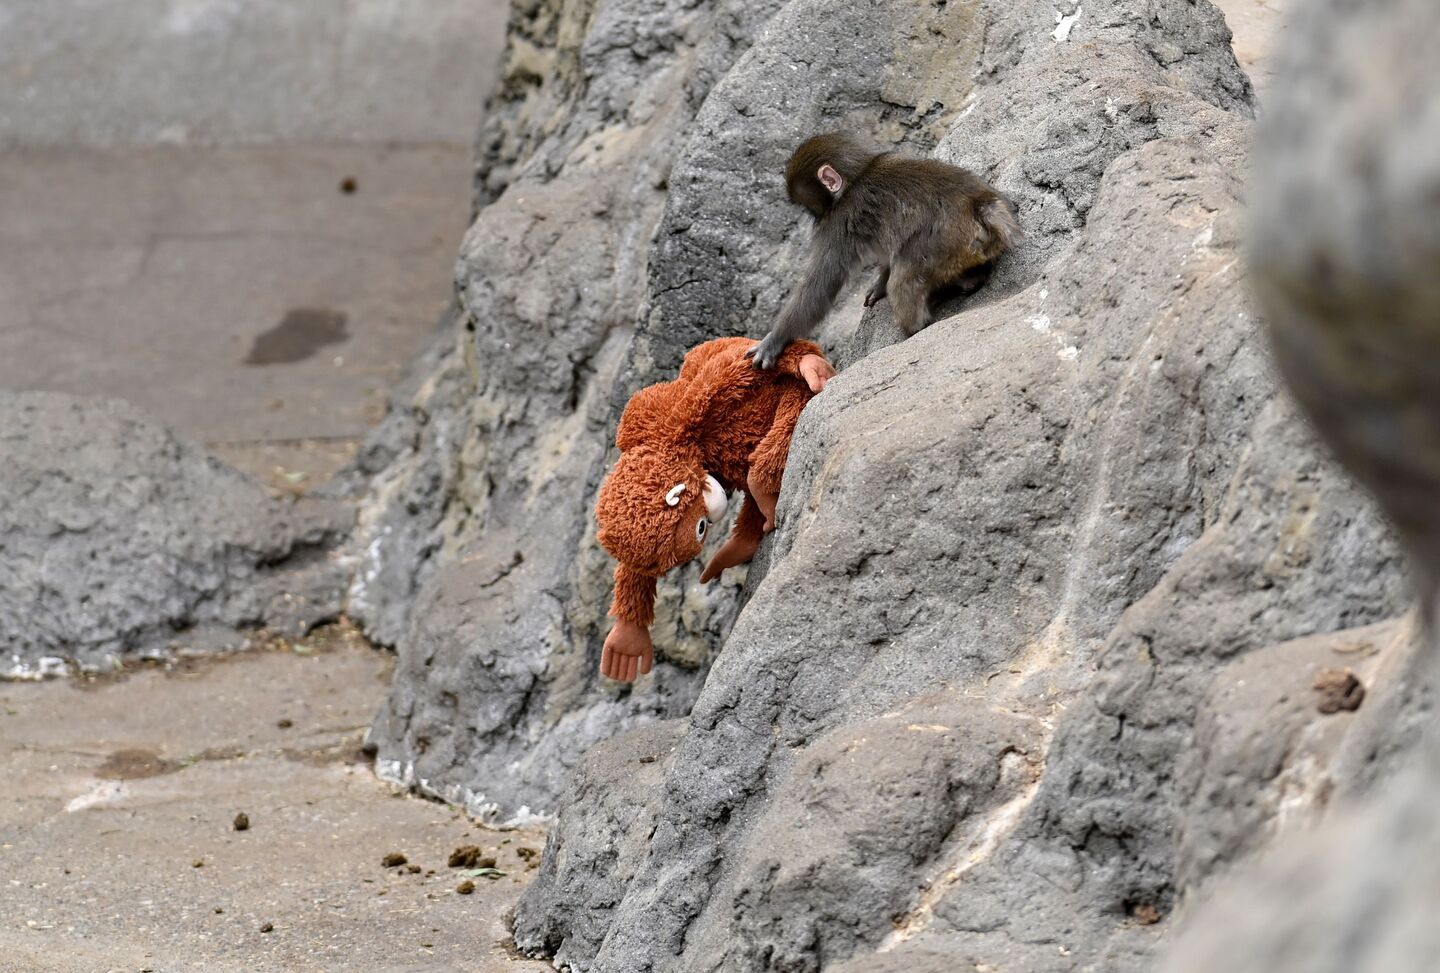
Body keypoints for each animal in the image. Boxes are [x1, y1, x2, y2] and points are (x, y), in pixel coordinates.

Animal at [748, 132, 1023, 370]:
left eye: (809, 208)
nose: (813, 220)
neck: (858, 176)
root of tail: (980, 204)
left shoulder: (838, 222)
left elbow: (821, 284)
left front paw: (775, 340)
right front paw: (879, 284)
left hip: (940, 245)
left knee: (903, 280)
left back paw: (914, 328)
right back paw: (971, 279)